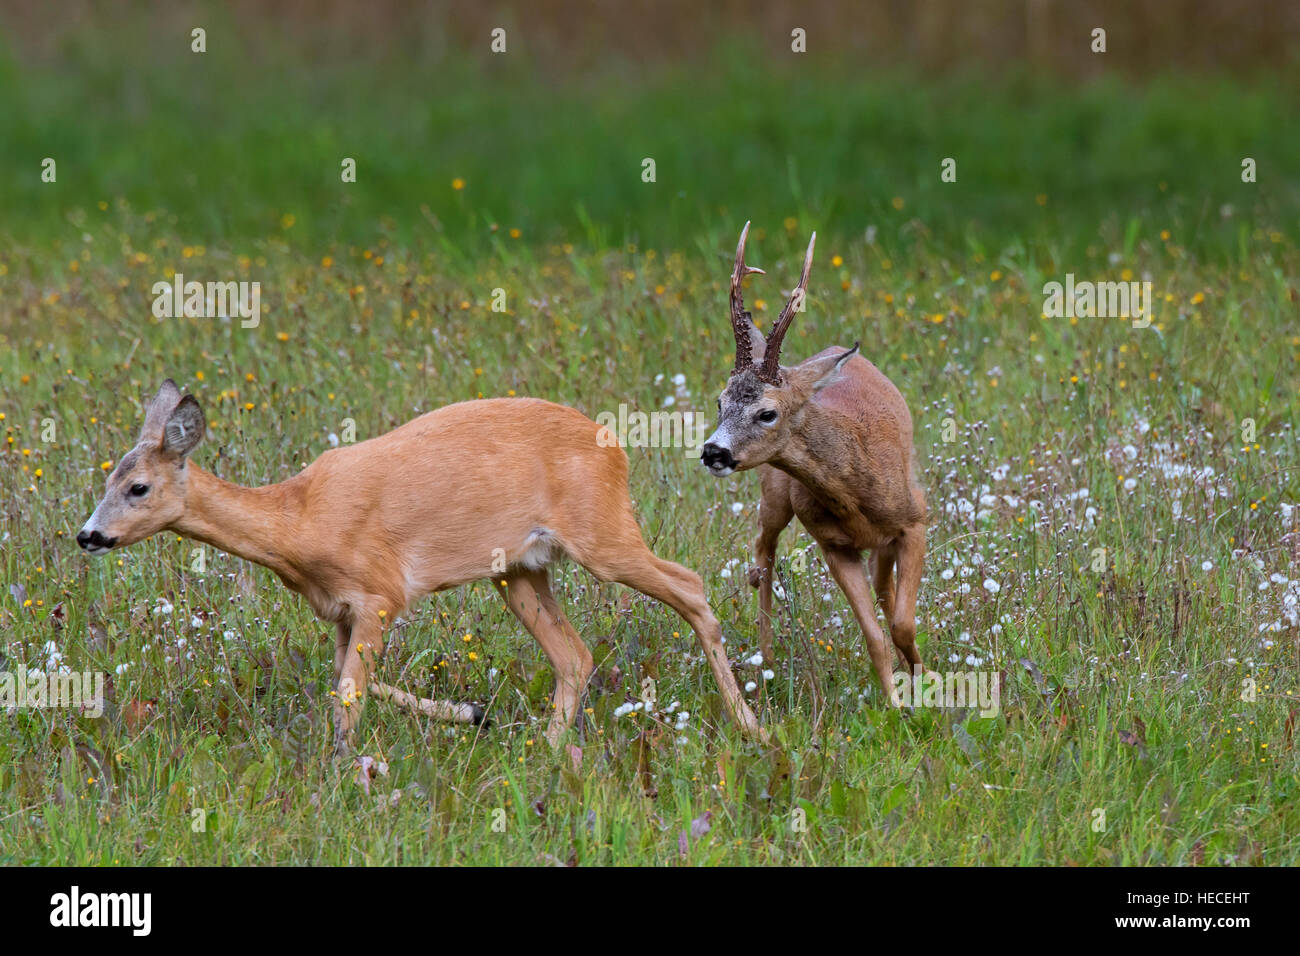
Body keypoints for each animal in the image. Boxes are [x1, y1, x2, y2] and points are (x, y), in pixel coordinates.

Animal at [78, 380, 766, 752]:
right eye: (107, 480)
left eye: (138, 487)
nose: (89, 535)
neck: (298, 521)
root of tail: (615, 447)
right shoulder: (341, 611)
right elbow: (342, 682)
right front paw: (471, 713)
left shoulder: (379, 592)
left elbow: (347, 696)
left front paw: (343, 776)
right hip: (518, 570)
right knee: (575, 654)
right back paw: (547, 753)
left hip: (603, 534)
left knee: (691, 585)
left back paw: (752, 728)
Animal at [700, 222, 928, 707]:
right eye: (720, 402)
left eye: (767, 412)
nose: (714, 452)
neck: (854, 493)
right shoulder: (833, 544)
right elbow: (875, 636)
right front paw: (897, 705)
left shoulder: (914, 519)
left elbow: (901, 623)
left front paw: (923, 679)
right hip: (774, 493)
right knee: (762, 553)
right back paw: (766, 657)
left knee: (885, 589)